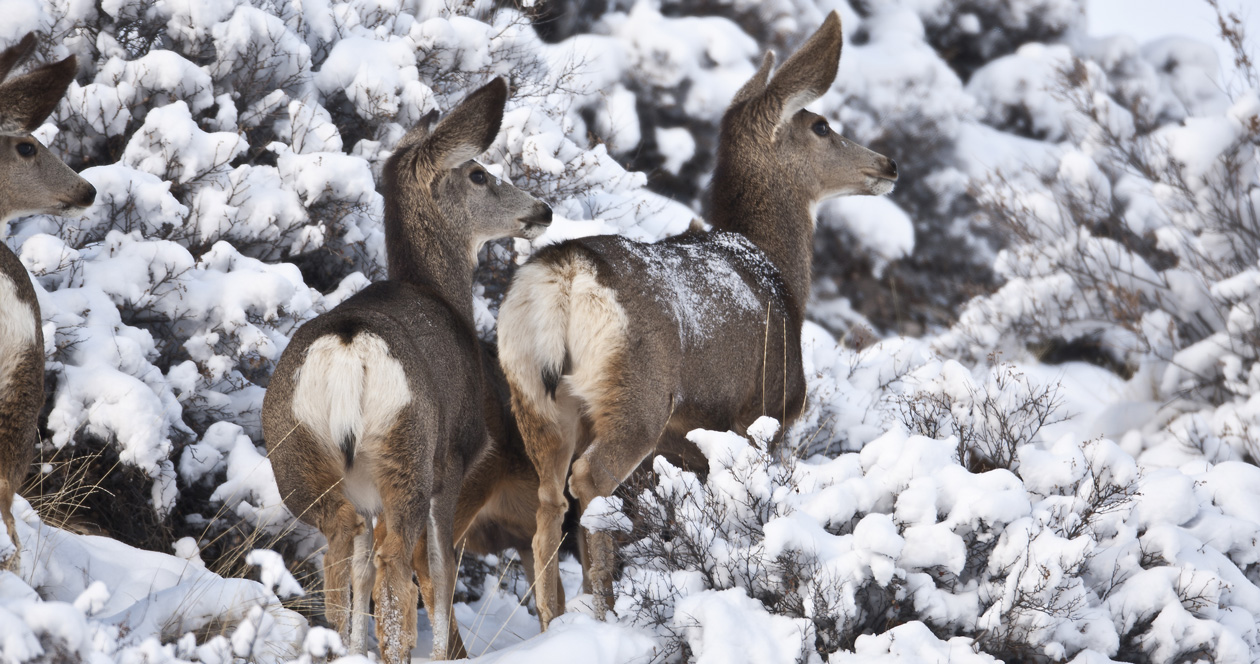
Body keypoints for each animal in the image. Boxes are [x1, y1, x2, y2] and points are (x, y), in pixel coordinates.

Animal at [260, 77, 552, 662]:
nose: (544, 210)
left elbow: (364, 576)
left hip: (296, 452)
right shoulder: (457, 462)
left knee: (343, 547)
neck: (442, 296)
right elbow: (439, 575)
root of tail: (348, 345)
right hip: (408, 451)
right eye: (478, 172)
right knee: (396, 561)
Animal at [496, 11, 898, 628]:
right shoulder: (765, 410)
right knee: (589, 483)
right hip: (638, 392)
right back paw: (603, 607)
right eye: (822, 126)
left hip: (534, 395)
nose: (888, 165)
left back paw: (555, 619)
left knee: (546, 504)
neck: (775, 267)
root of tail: (566, 275)